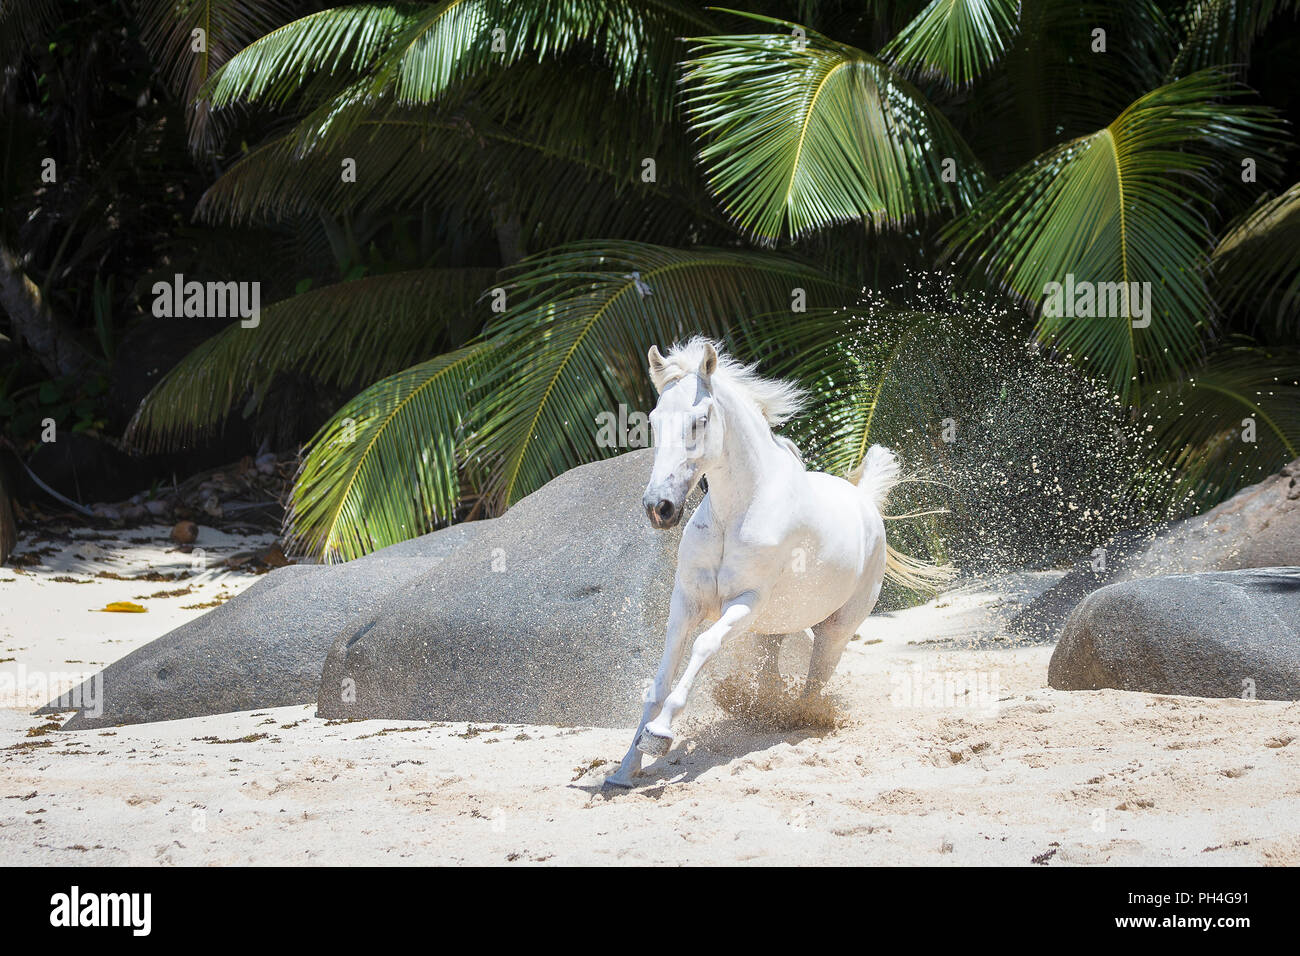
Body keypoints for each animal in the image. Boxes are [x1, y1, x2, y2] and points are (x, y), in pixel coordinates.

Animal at [606, 337, 945, 788]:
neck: (736, 513)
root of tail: (865, 502)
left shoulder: (745, 603)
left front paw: (659, 734)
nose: (658, 508)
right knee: (772, 674)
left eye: (699, 421)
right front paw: (626, 768)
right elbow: (660, 677)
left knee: (815, 683)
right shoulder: (686, 602)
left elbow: (703, 645)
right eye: (656, 421)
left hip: (836, 629)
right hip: (772, 630)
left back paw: (803, 719)